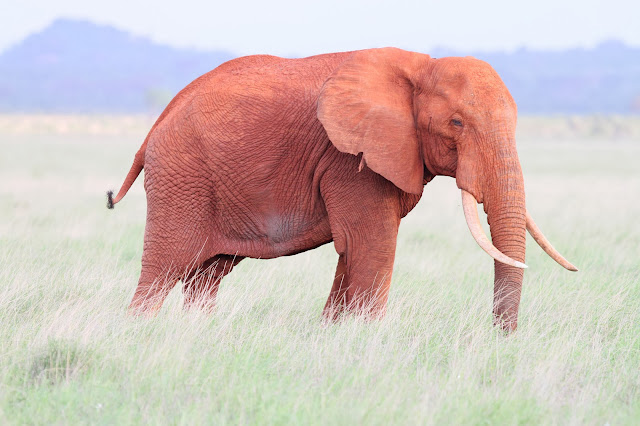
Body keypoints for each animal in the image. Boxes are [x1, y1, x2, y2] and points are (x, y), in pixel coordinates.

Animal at [108, 47, 577, 331]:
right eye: (457, 123)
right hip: (181, 180)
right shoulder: (349, 162)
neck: (422, 64)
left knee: (207, 275)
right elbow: (373, 246)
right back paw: (138, 332)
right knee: (164, 269)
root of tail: (153, 128)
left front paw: (331, 335)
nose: (501, 340)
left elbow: (352, 252)